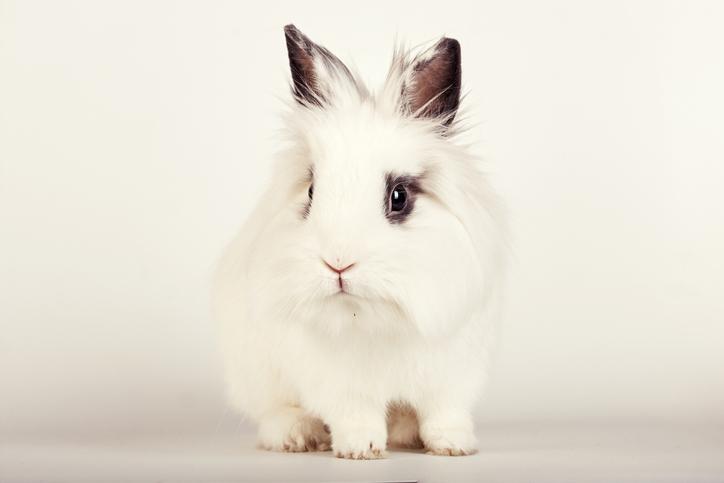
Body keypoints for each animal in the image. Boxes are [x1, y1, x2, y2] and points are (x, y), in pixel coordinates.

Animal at [213, 24, 506, 459]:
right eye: (312, 191)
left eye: (399, 196)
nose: (338, 263)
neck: (371, 315)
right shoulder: (339, 384)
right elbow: (356, 414)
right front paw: (360, 449)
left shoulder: (452, 372)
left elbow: (443, 412)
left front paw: (453, 446)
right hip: (257, 373)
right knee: (275, 412)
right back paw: (297, 436)